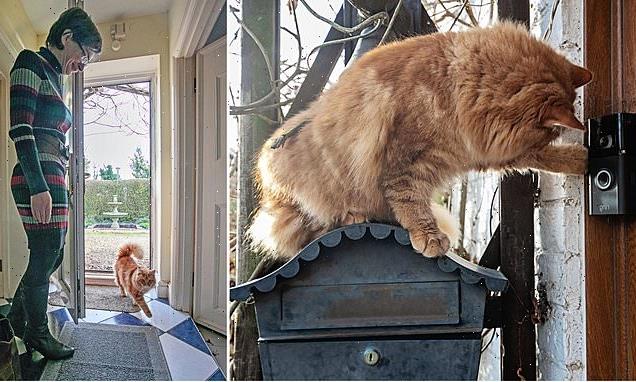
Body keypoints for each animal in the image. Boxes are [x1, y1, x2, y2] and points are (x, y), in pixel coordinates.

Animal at [247, 21, 592, 260]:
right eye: (551, 132)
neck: (457, 86)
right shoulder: (404, 163)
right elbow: (412, 203)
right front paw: (429, 237)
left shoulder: (484, 148)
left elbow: (546, 158)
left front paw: (581, 159)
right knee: (310, 226)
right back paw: (354, 214)